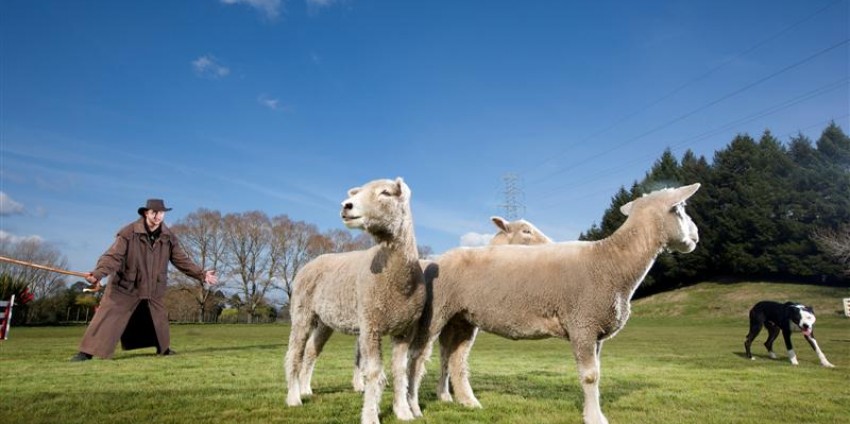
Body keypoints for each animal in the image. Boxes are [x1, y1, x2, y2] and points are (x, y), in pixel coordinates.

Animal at [284, 177, 427, 424]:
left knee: (312, 350)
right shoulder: (371, 324)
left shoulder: (405, 329)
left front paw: (403, 412)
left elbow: (400, 371)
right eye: (358, 192)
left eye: (386, 193)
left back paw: (305, 389)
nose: (346, 205)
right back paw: (294, 398)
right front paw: (370, 415)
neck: (400, 283)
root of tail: (311, 262)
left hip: (325, 321)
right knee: (295, 352)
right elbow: (374, 373)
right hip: (302, 310)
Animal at [409, 184, 701, 424]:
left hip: (462, 318)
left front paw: (591, 412)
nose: (697, 236)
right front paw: (595, 418)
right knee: (418, 356)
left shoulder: (595, 332)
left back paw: (468, 403)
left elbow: (597, 374)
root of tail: (437, 258)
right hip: (437, 312)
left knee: (455, 359)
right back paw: (413, 407)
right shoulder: (583, 324)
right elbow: (590, 376)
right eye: (679, 211)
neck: (611, 261)